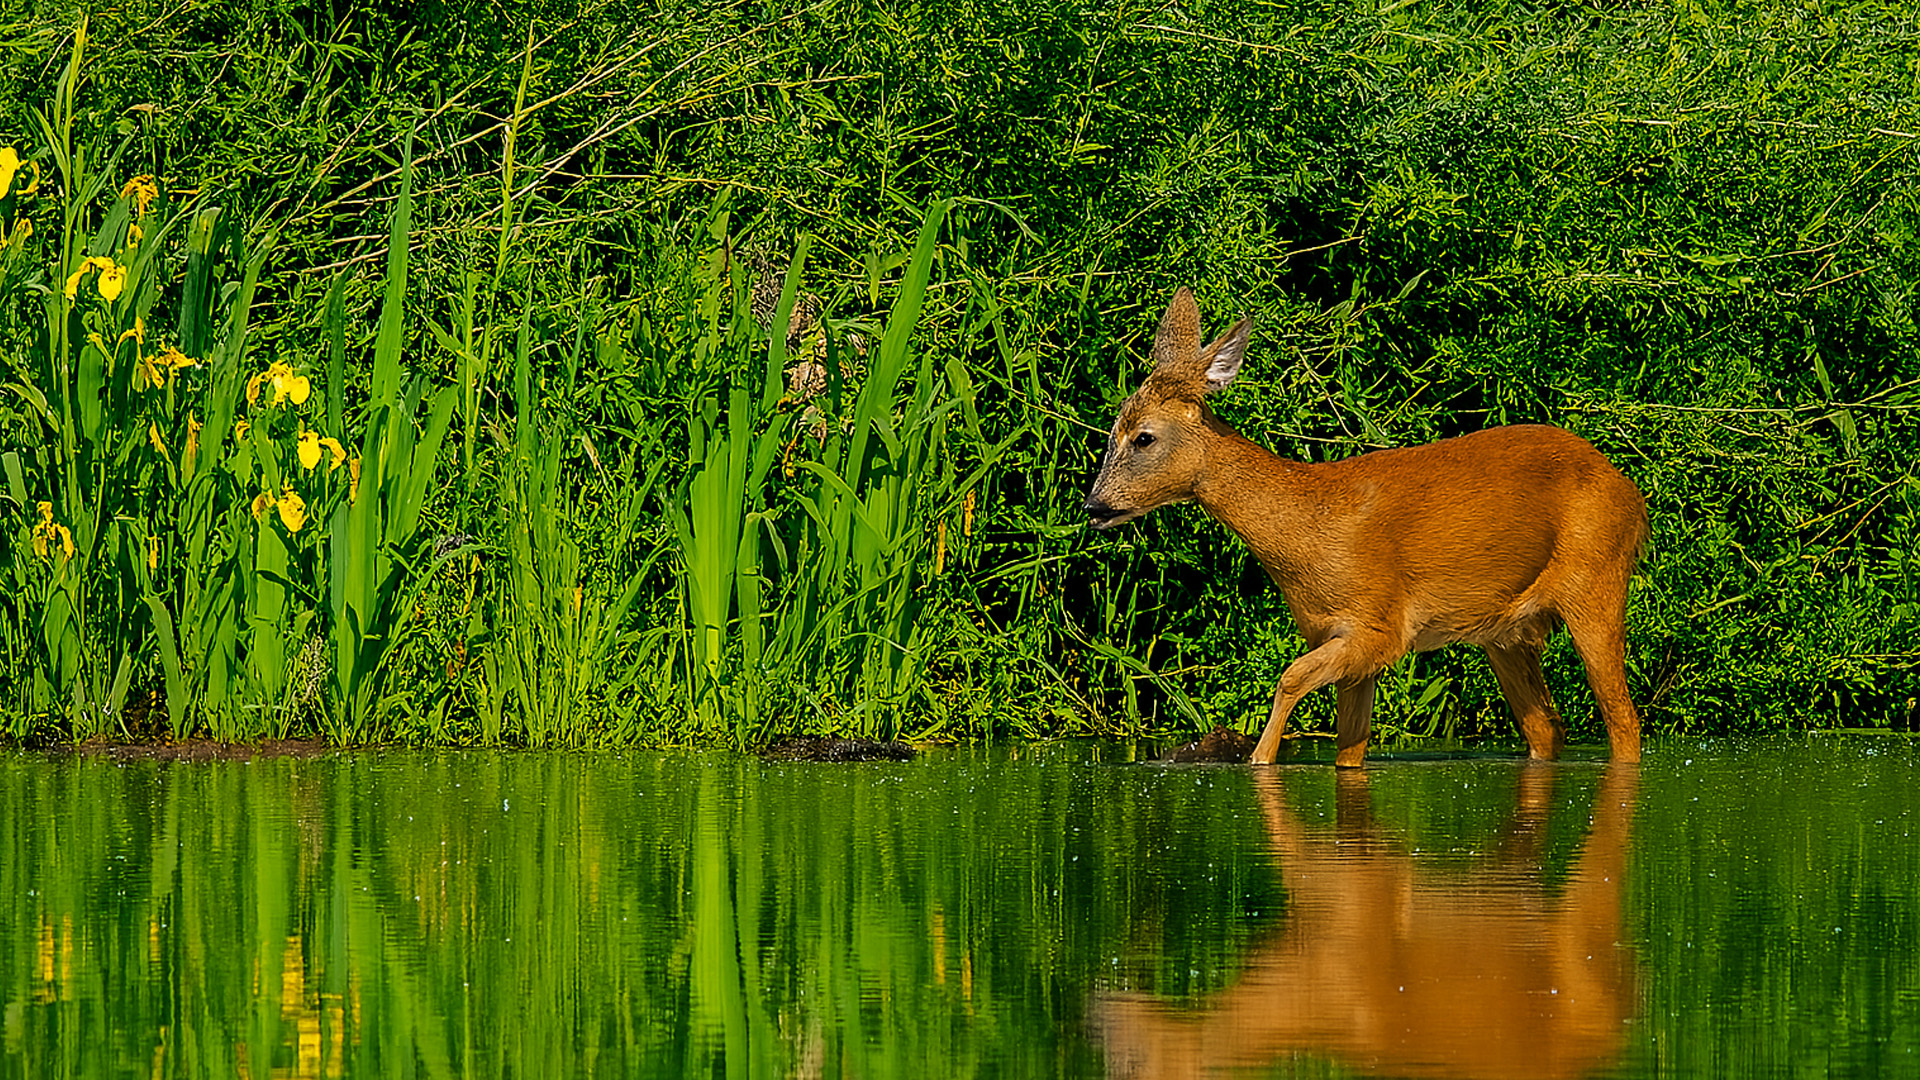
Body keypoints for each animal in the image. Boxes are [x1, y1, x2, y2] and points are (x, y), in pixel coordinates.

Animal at [1082, 288, 1648, 767]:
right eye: (1110, 432)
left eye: (1143, 437)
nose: (1094, 506)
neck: (1307, 526)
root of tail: (1631, 493)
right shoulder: (1339, 636)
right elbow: (1347, 751)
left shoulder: (1379, 625)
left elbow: (1289, 678)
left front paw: (1259, 760)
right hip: (1504, 631)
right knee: (1547, 729)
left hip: (1596, 579)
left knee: (1624, 722)